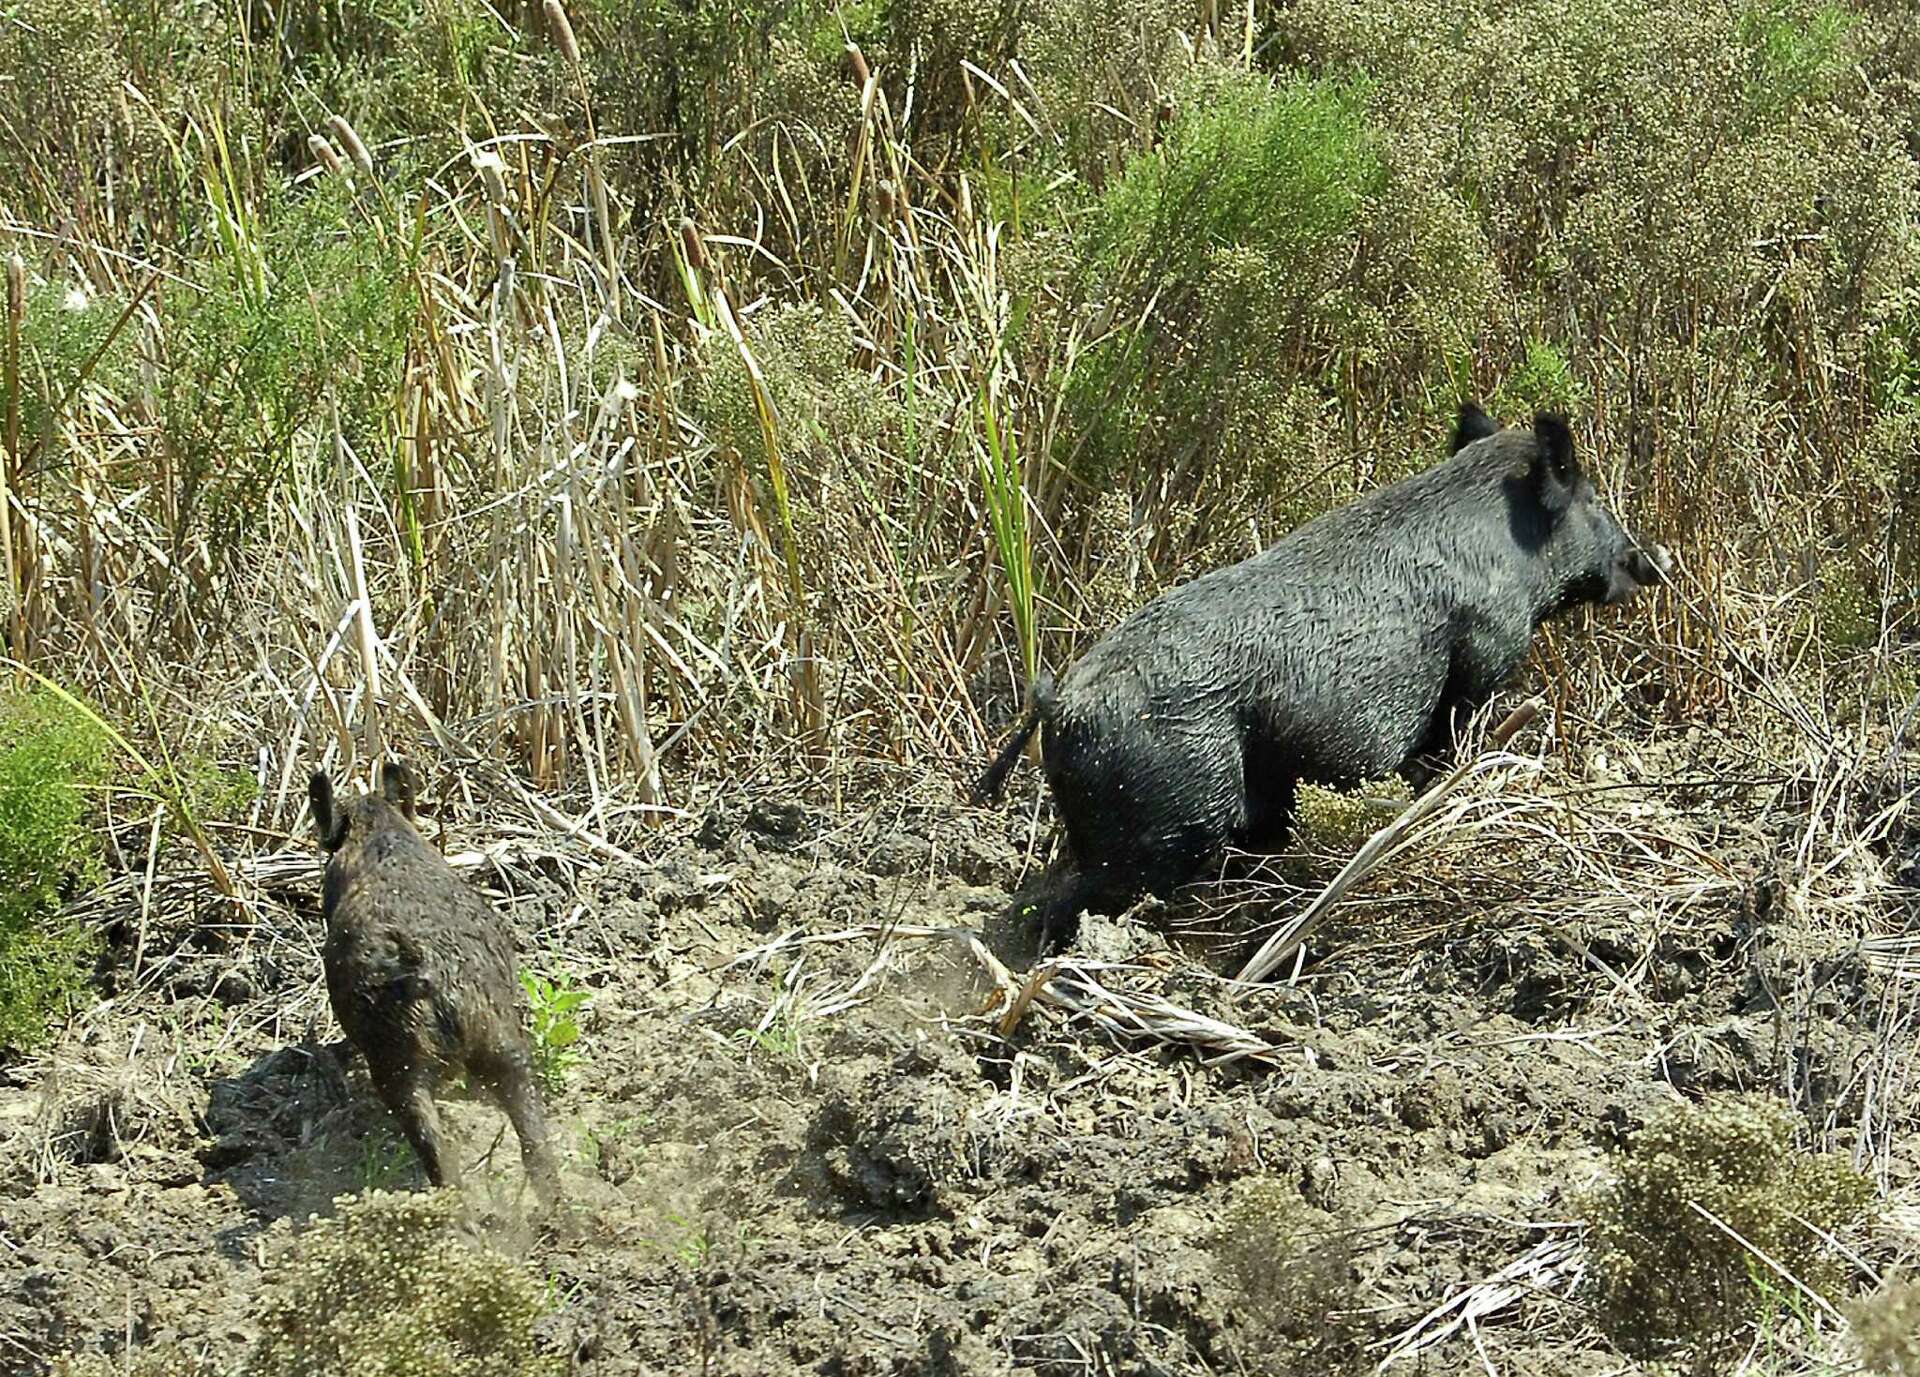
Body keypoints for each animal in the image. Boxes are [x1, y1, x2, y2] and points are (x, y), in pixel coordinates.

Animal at [309, 759, 560, 1199]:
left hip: (398, 1065)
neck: (377, 829)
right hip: (504, 1044)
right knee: (537, 1150)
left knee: (441, 1160)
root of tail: (426, 970)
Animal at [974, 404, 1672, 952]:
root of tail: (1059, 703)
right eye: (1593, 500)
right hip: (1167, 814)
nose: (1654, 558)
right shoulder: (1486, 656)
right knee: (1069, 899)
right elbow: (1452, 745)